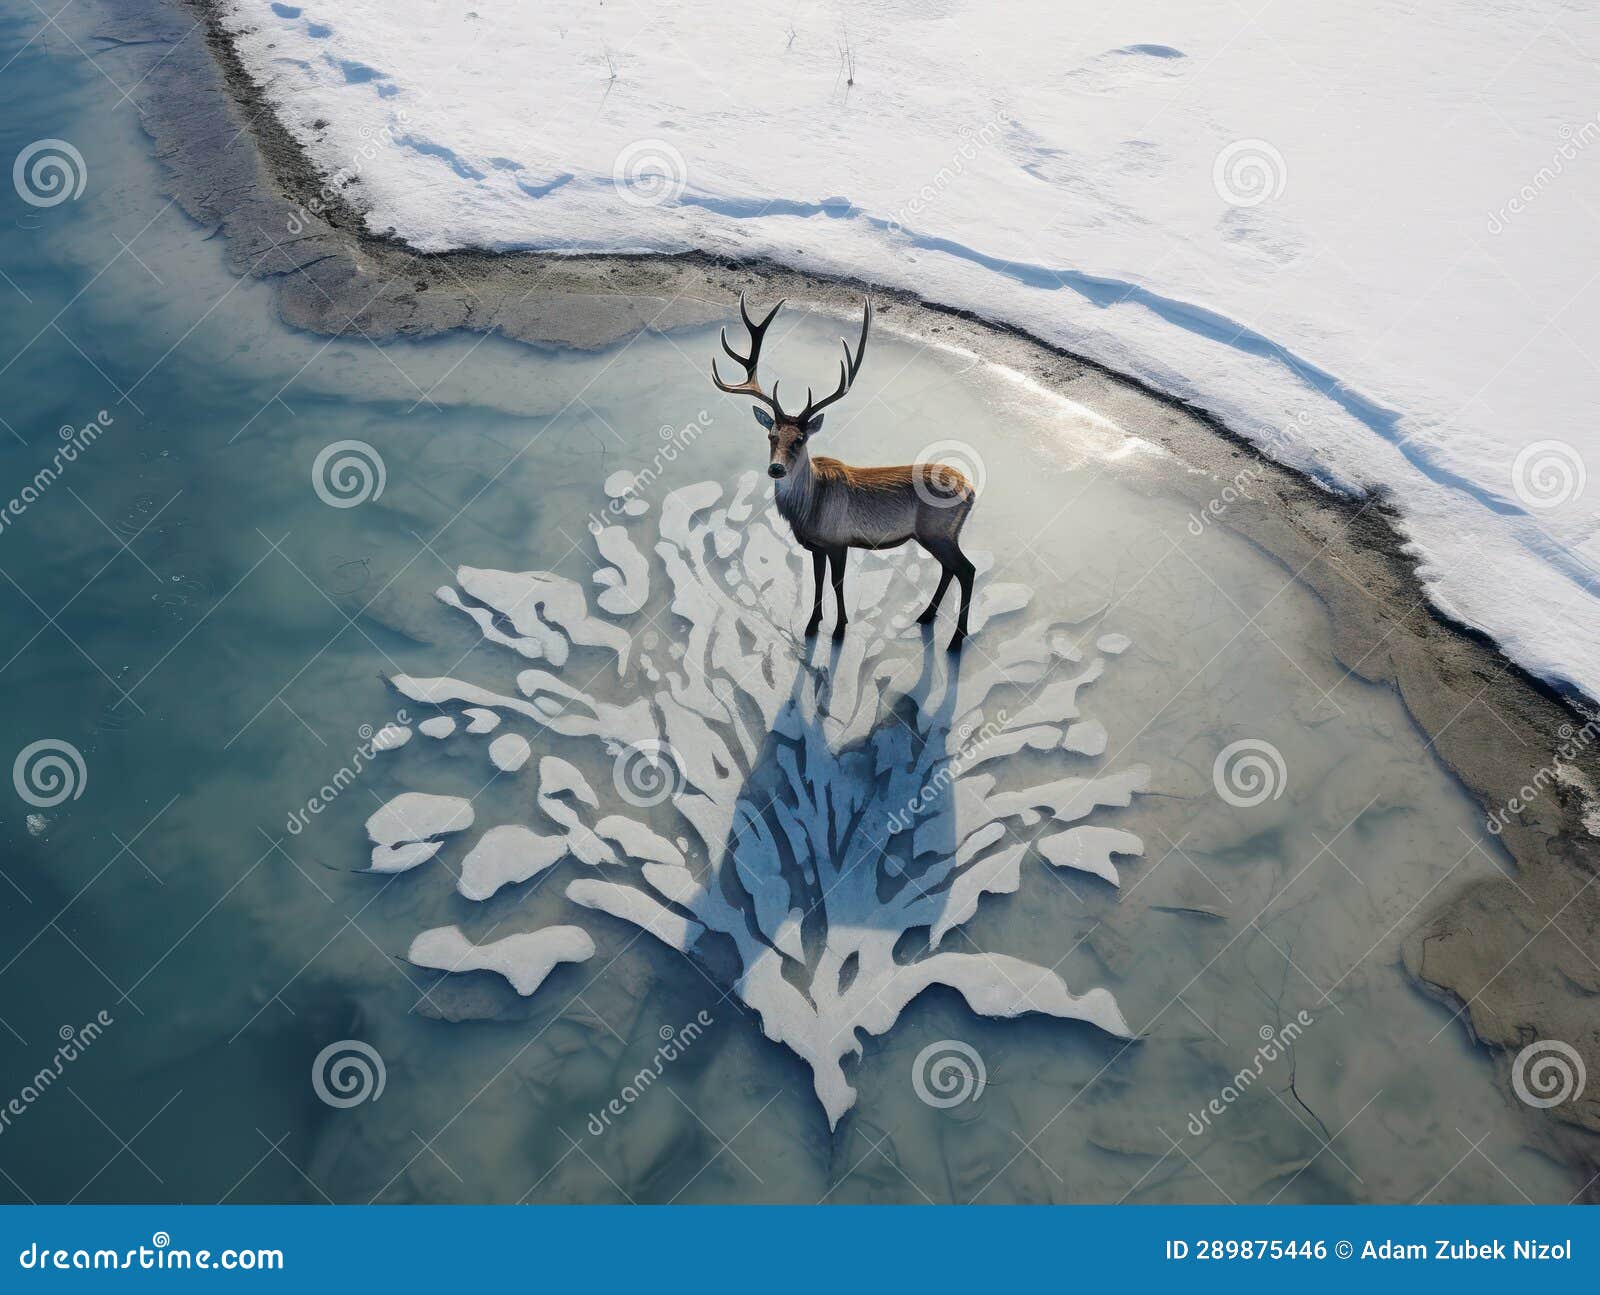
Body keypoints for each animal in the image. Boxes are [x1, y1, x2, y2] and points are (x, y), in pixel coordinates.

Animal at [710, 294, 978, 650]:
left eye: (800, 439)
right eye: (771, 436)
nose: (776, 468)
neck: (808, 510)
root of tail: (972, 490)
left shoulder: (839, 540)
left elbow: (837, 584)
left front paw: (839, 631)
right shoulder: (815, 546)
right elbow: (818, 581)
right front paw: (812, 626)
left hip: (938, 530)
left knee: (967, 570)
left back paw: (956, 640)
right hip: (938, 534)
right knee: (950, 570)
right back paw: (926, 616)